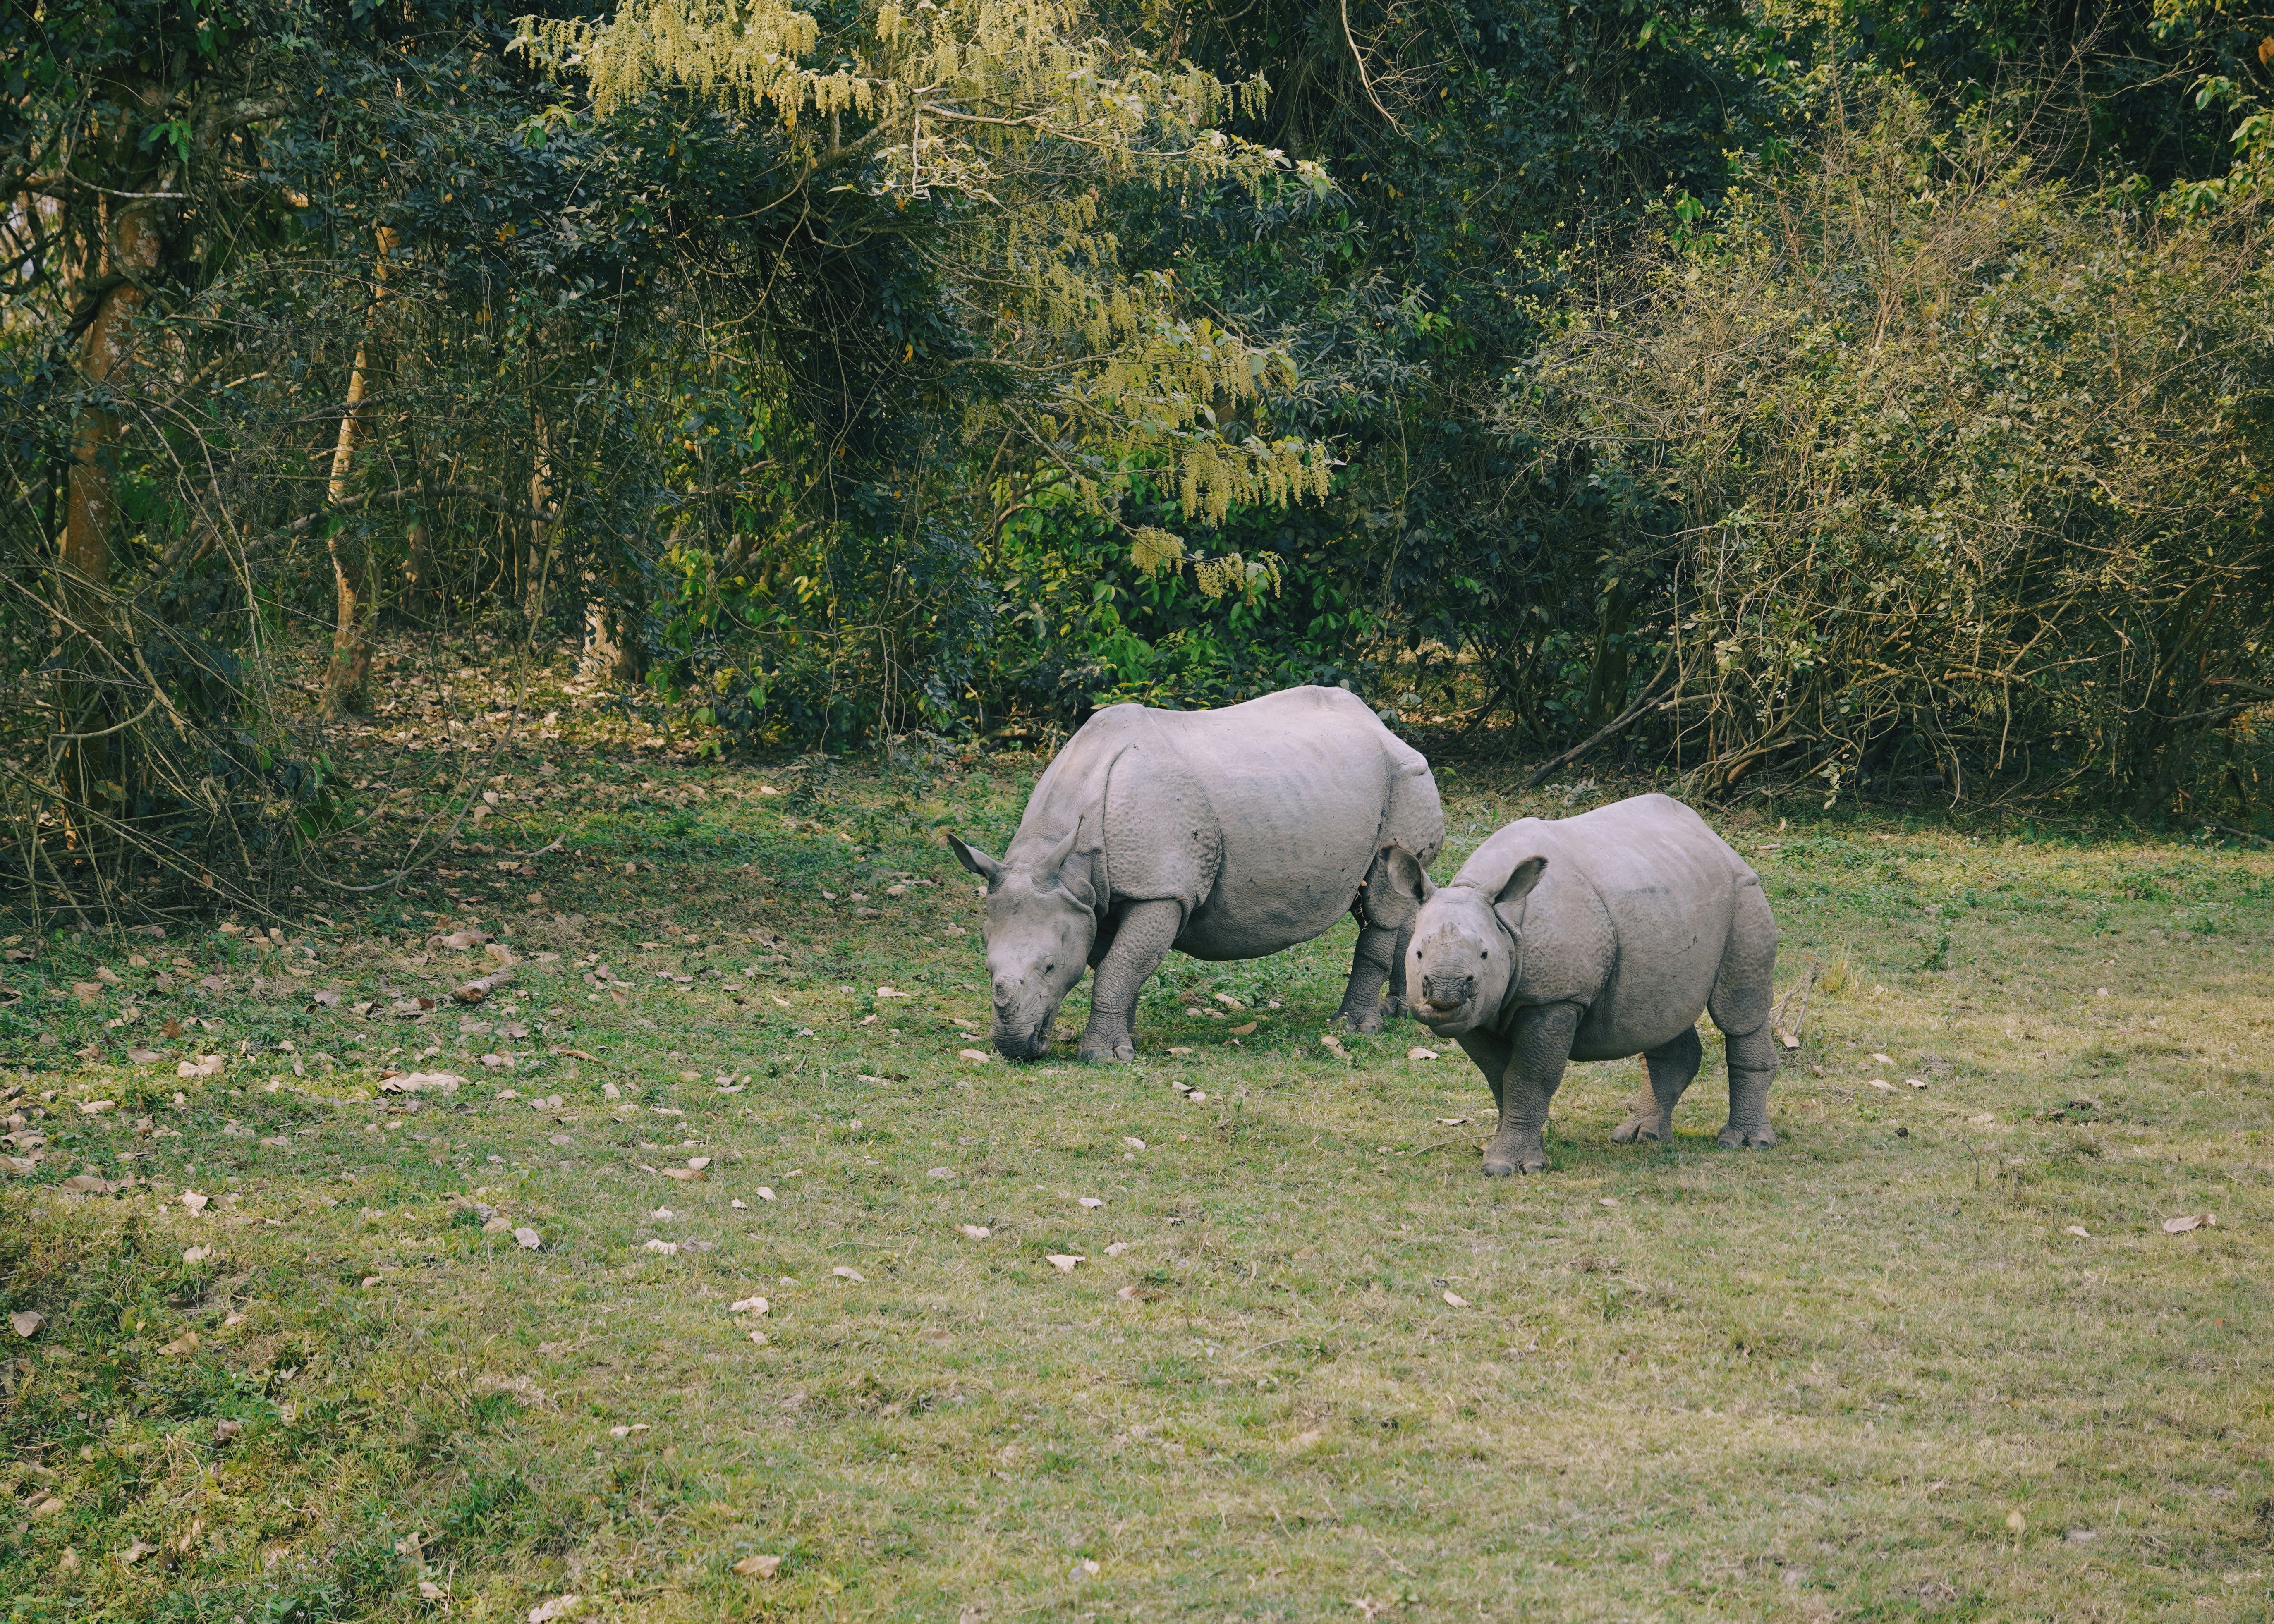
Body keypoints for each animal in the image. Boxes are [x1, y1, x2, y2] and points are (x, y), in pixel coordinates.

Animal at [947, 686, 1444, 1061]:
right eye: (986, 965)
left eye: (1050, 966)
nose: (1014, 1048)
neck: (1066, 859)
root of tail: (1385, 728)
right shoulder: (1096, 895)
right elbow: (1118, 964)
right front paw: (1128, 1042)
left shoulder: (1162, 890)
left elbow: (1119, 966)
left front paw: (1103, 1056)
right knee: (1396, 898)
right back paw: (1400, 1012)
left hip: (1408, 779)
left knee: (1381, 903)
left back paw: (1353, 1030)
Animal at [1374, 792, 1778, 1175]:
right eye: (1418, 953)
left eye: (1486, 955)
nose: (1446, 992)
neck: (1506, 923)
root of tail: (1714, 836)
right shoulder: (1478, 1013)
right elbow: (1499, 1076)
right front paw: (1519, 1149)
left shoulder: (1555, 999)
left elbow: (1529, 1077)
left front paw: (1510, 1166)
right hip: (1670, 893)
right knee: (1660, 1016)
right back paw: (1641, 1136)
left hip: (1744, 891)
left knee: (1739, 1014)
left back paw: (1745, 1143)